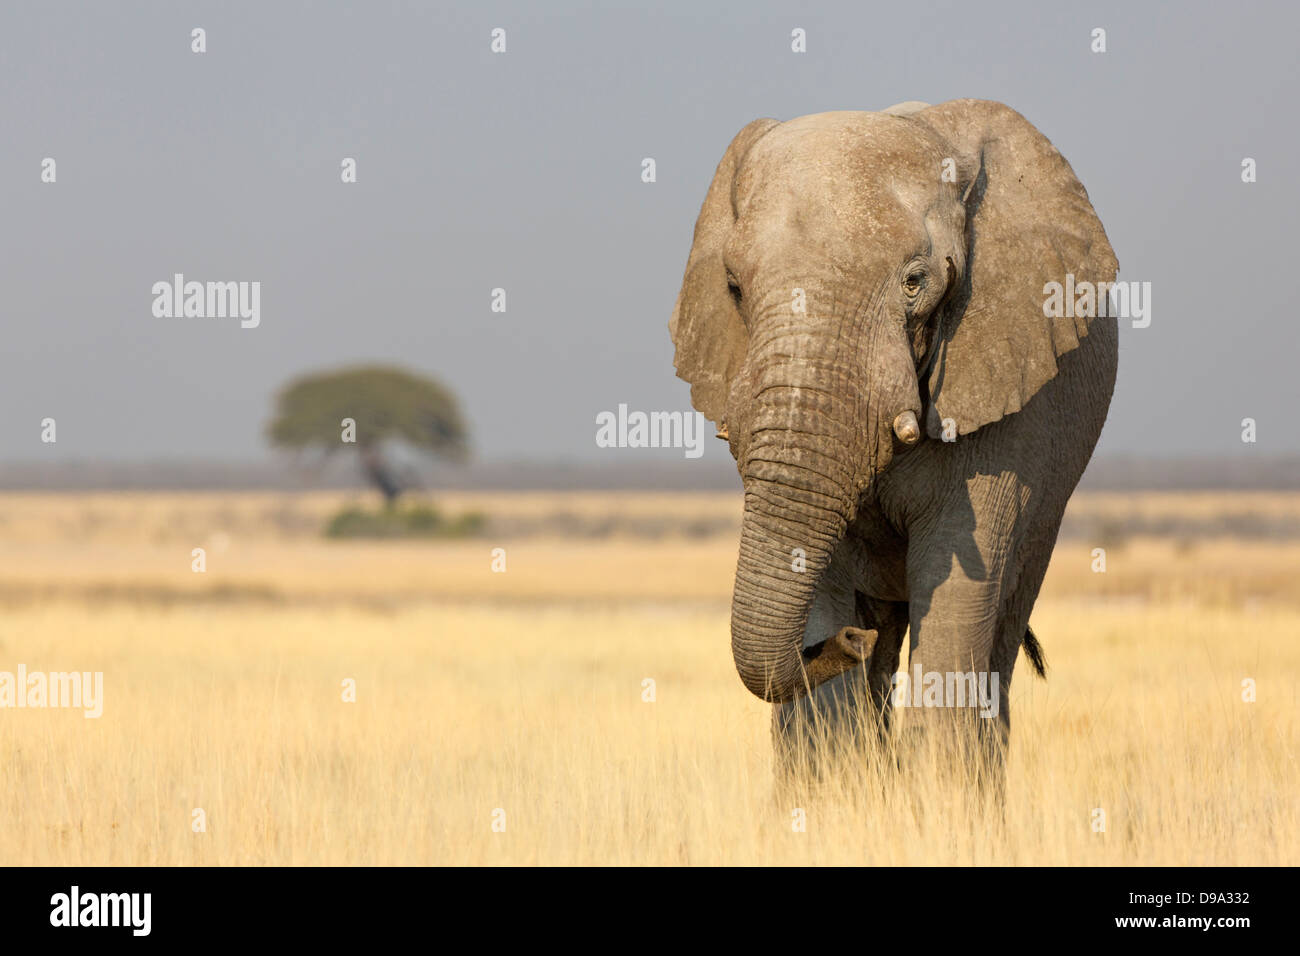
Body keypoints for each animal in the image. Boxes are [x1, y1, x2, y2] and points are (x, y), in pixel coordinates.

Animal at [668, 99, 1118, 776]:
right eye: (734, 288)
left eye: (914, 282)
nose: (846, 641)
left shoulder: (1003, 397)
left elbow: (956, 598)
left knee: (1001, 630)